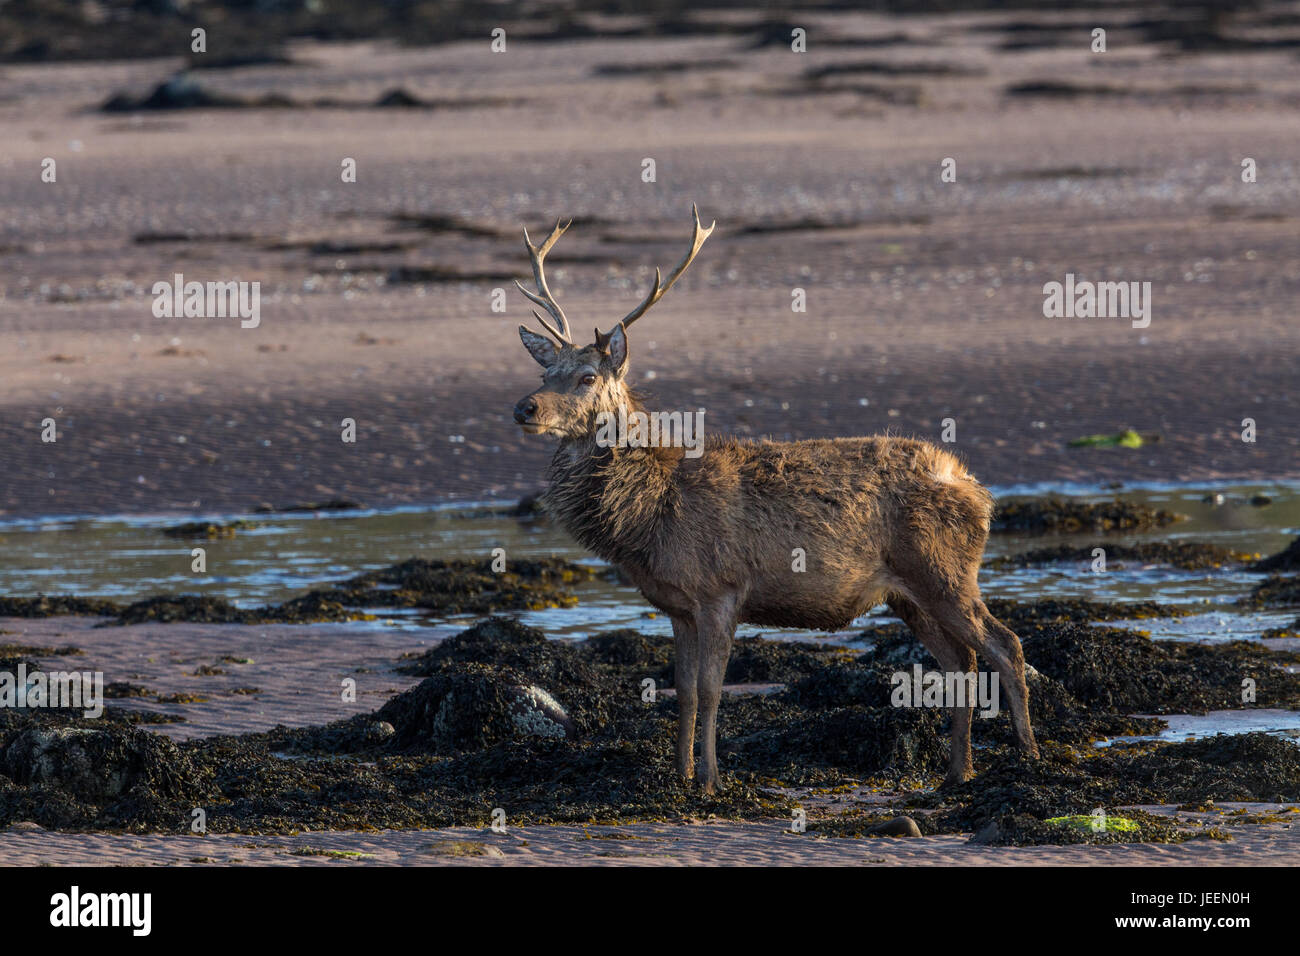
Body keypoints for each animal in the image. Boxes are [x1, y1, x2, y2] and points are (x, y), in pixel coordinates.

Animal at [510, 204, 1039, 793]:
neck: (651, 514)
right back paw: (956, 773)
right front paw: (679, 775)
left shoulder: (721, 590)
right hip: (909, 593)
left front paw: (711, 781)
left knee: (1006, 645)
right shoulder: (676, 605)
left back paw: (1029, 759)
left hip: (944, 570)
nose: (526, 407)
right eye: (544, 371)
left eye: (585, 377)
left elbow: (712, 691)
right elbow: (683, 693)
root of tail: (977, 489)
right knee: (960, 662)